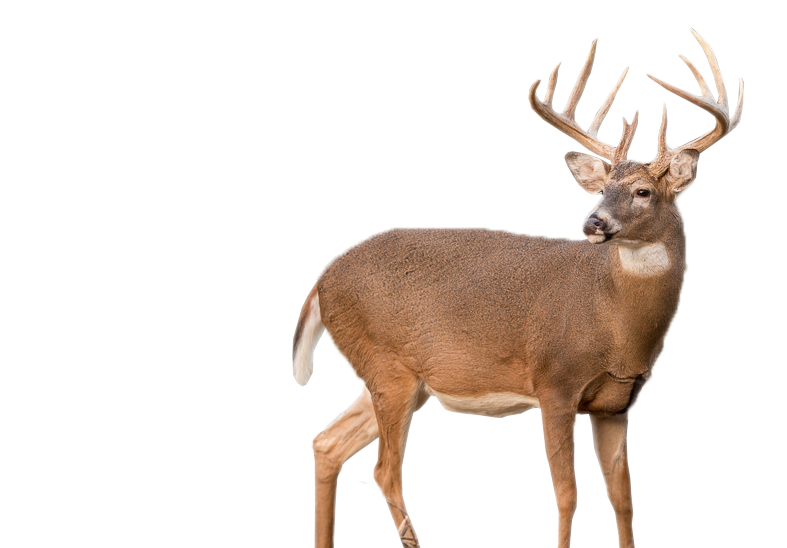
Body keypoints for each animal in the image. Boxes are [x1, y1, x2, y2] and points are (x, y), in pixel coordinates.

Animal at [291, 28, 743, 548]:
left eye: (642, 191)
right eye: (600, 189)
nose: (592, 222)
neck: (614, 321)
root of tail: (321, 279)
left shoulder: (617, 403)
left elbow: (624, 499)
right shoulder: (555, 382)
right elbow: (567, 494)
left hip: (394, 377)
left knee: (326, 443)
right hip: (387, 365)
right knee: (385, 470)